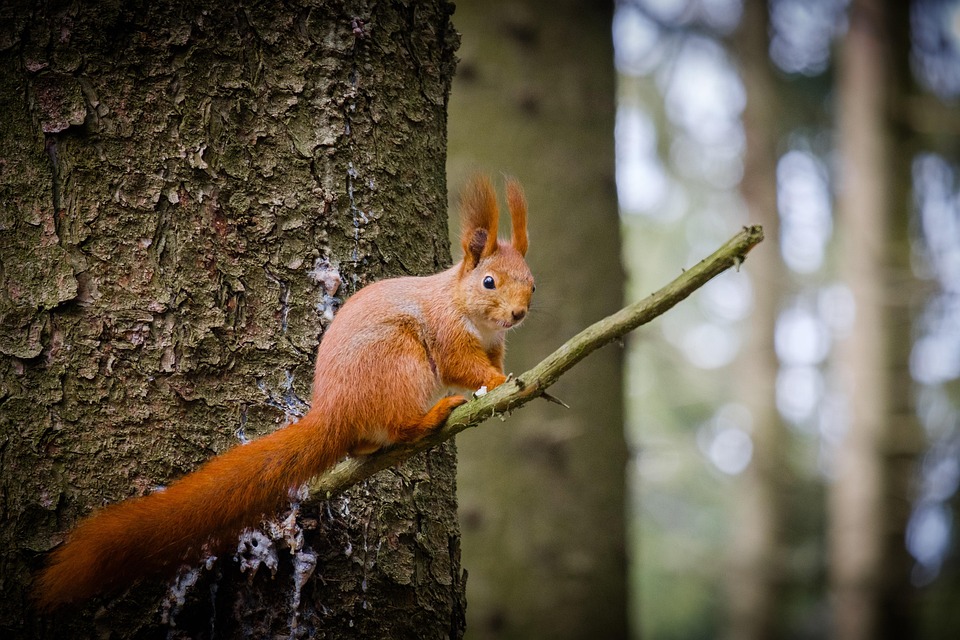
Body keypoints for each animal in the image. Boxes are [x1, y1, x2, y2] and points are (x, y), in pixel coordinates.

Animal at [34, 174, 534, 610]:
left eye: (532, 282)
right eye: (489, 282)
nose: (519, 314)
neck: (468, 310)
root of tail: (335, 412)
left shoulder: (494, 343)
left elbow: (491, 362)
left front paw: (504, 380)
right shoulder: (448, 334)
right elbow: (460, 366)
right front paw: (497, 386)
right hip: (399, 363)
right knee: (401, 426)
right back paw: (432, 417)